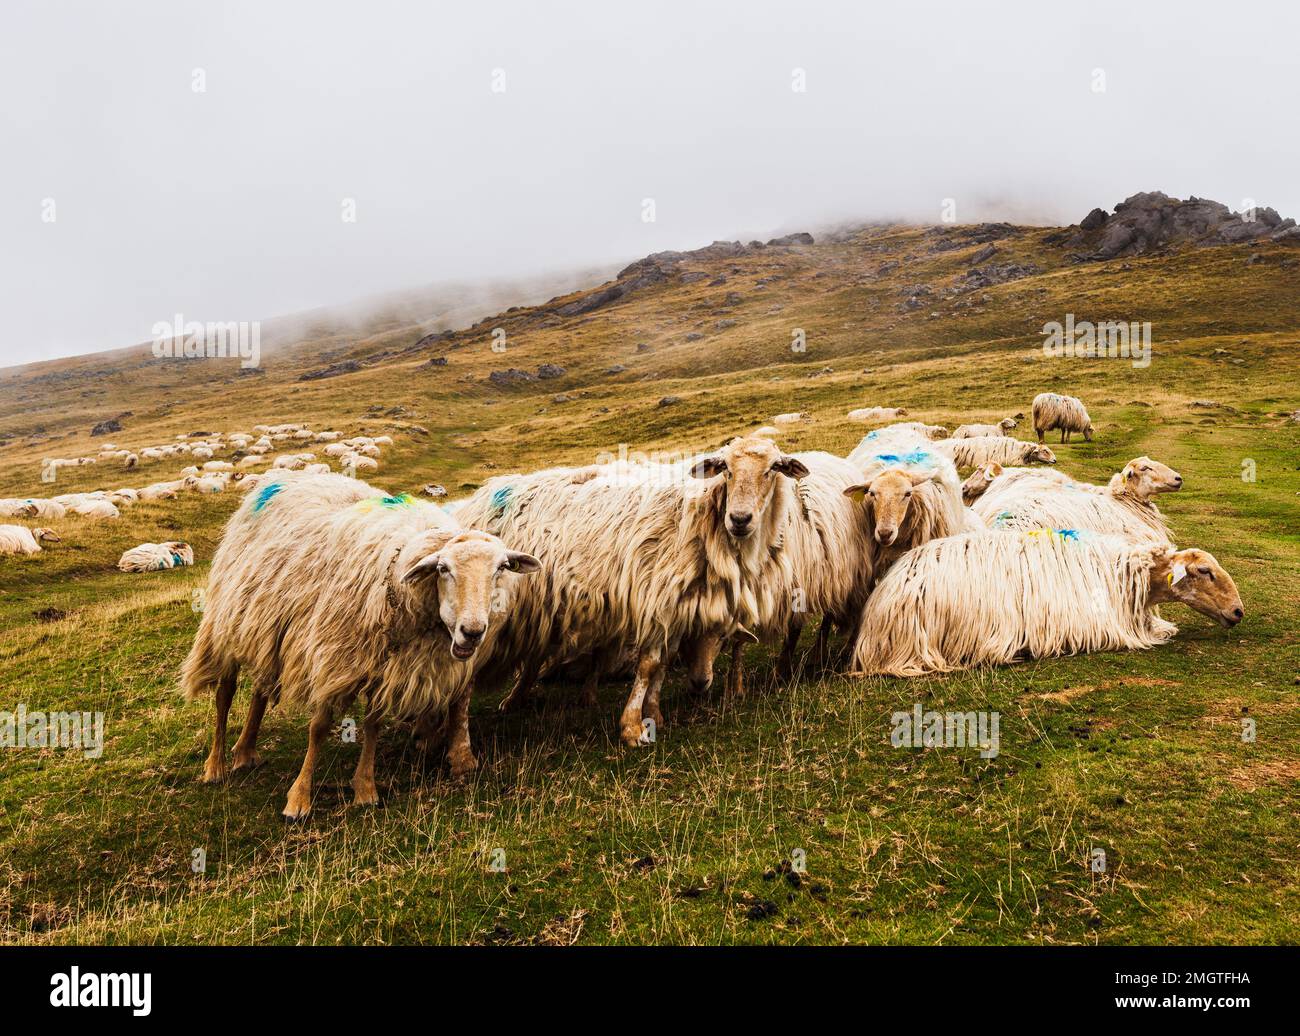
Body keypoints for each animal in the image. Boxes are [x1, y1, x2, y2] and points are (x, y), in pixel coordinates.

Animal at [181, 471, 540, 818]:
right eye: (442, 568)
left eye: (501, 568)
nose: (473, 631)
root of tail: (282, 478)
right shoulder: (335, 656)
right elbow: (319, 728)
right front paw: (299, 799)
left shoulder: (385, 667)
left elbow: (372, 725)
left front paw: (365, 789)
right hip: (226, 623)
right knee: (225, 694)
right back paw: (215, 765)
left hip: (267, 630)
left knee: (260, 689)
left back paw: (245, 751)